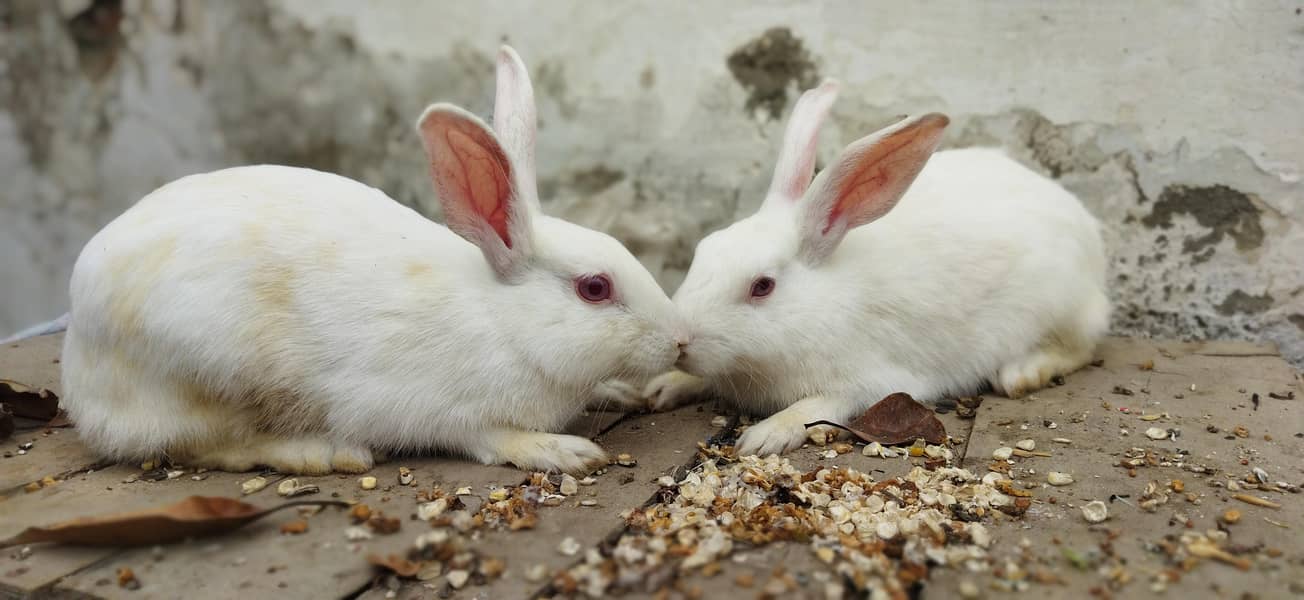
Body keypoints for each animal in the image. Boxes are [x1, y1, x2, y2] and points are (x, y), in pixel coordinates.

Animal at [58, 45, 688, 475]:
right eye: (594, 288)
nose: (680, 341)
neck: (505, 324)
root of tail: (78, 372)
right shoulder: (439, 411)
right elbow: (490, 440)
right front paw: (564, 450)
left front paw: (619, 394)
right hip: (201, 373)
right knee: (201, 446)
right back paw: (319, 454)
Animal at [651, 80, 1109, 457]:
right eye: (703, 250)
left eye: (762, 286)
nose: (681, 341)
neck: (822, 304)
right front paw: (664, 387)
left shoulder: (871, 382)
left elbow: (817, 405)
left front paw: (765, 436)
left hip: (1059, 306)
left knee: (1081, 348)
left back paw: (1022, 372)